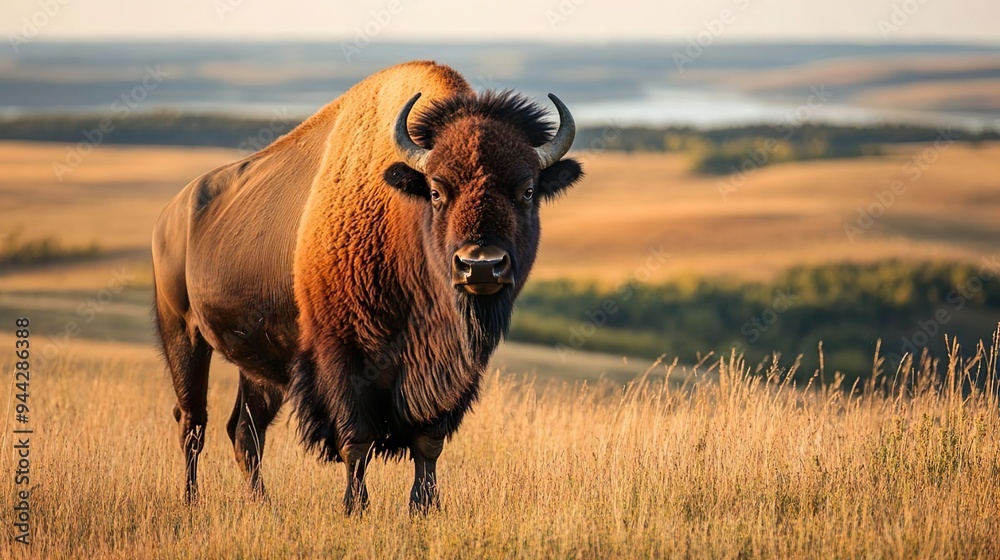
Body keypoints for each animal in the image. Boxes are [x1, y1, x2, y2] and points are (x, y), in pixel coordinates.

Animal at [151, 61, 583, 512]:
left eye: (528, 190)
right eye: (436, 190)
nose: (480, 266)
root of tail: (171, 214)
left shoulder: (450, 372)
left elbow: (428, 442)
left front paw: (424, 506)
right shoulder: (343, 357)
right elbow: (355, 441)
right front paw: (355, 507)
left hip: (260, 366)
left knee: (244, 431)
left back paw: (261, 503)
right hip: (183, 335)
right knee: (192, 423)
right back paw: (191, 501)